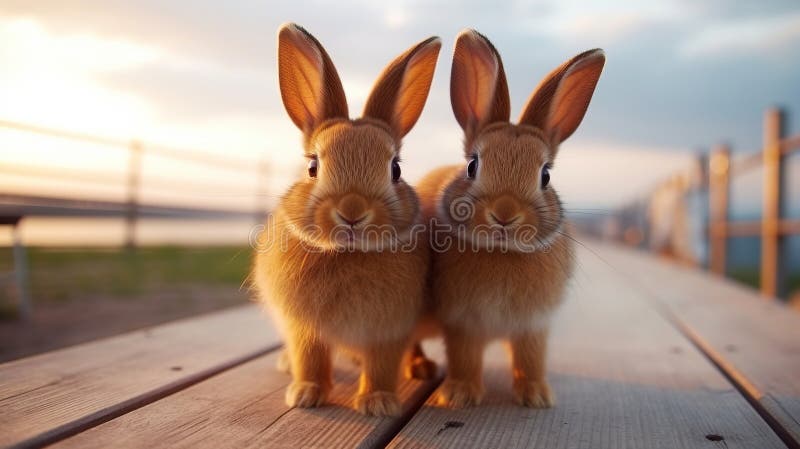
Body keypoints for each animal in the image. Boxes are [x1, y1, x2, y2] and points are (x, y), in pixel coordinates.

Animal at [252, 23, 441, 417]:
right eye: (313, 166)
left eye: (395, 169)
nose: (352, 212)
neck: (349, 253)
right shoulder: (305, 329)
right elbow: (310, 359)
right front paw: (305, 395)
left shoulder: (390, 330)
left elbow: (382, 365)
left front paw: (379, 403)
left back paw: (421, 368)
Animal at [416, 29, 605, 408]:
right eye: (473, 166)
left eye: (545, 175)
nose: (505, 215)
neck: (503, 252)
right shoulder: (462, 323)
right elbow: (464, 357)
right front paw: (459, 395)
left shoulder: (533, 325)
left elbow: (531, 357)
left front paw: (537, 396)